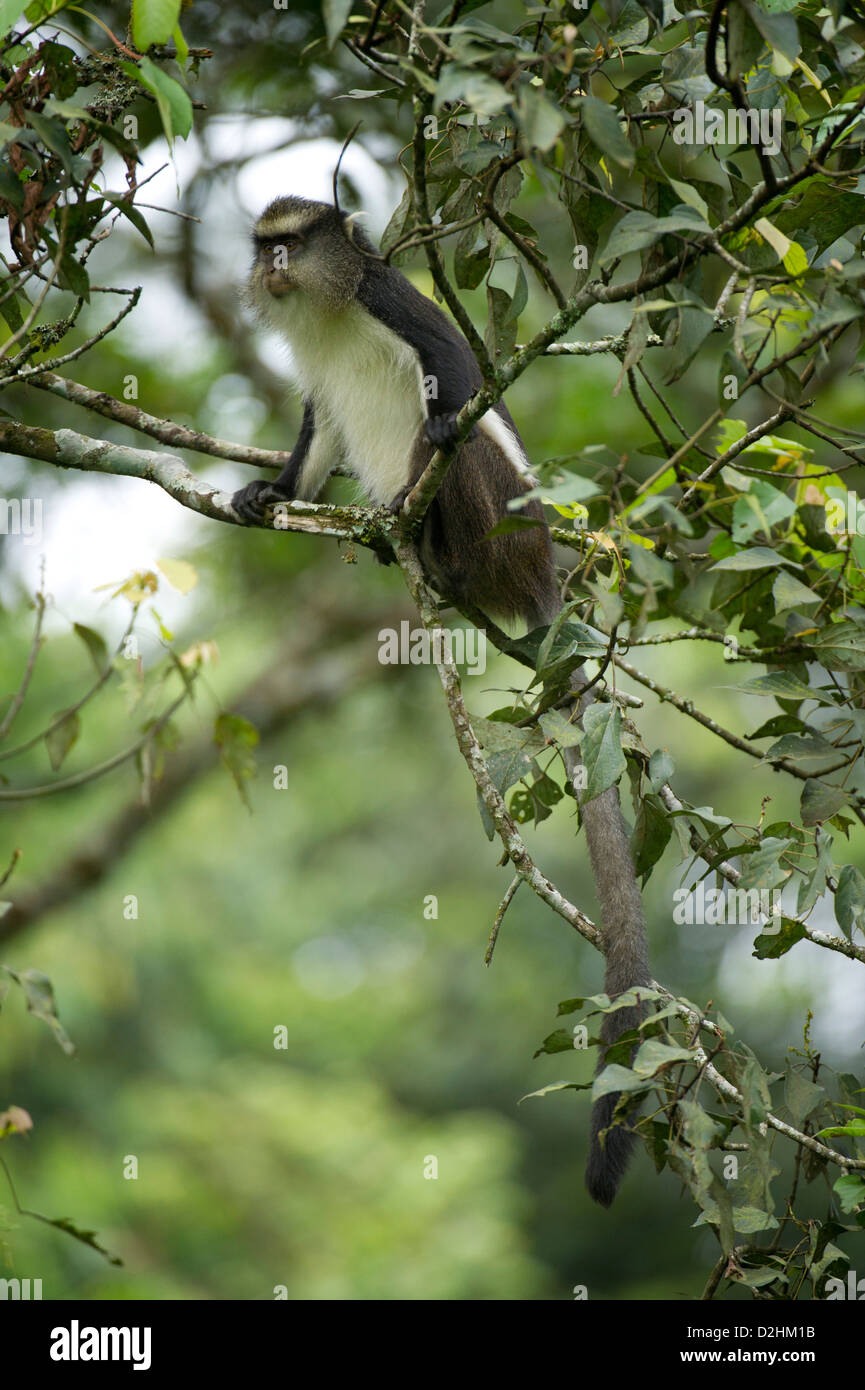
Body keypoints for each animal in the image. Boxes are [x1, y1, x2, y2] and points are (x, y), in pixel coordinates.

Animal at [231, 195, 650, 1206]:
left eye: (295, 243)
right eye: (267, 246)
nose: (273, 270)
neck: (332, 308)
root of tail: (539, 577)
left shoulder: (396, 304)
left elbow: (457, 384)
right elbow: (319, 428)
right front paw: (267, 491)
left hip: (502, 520)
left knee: (444, 441)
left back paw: (435, 549)